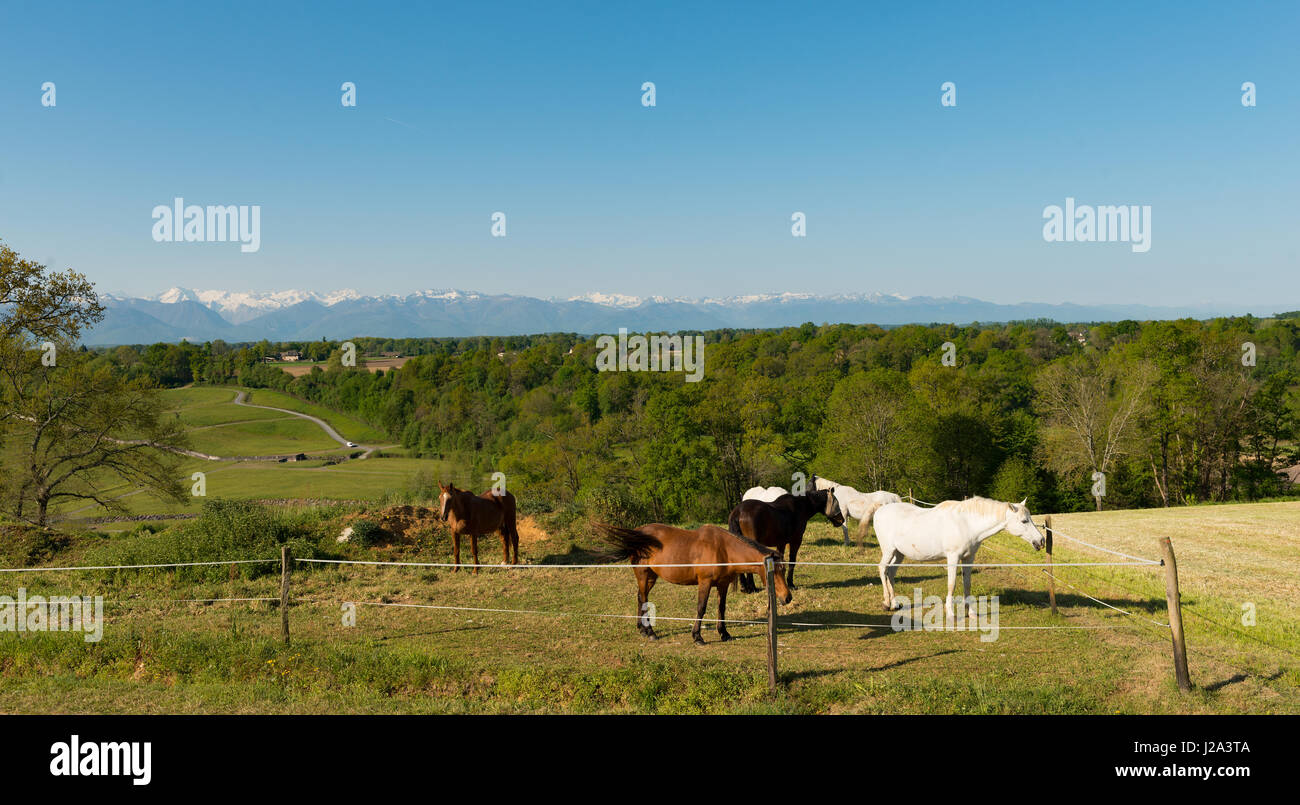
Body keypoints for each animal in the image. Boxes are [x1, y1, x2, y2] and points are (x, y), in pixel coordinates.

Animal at [595, 522, 791, 644]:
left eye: (784, 570)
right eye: (775, 572)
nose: (787, 597)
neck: (723, 549)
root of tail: (638, 534)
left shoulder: (723, 585)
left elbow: (721, 608)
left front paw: (724, 633)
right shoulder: (705, 583)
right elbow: (701, 608)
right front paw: (697, 637)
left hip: (650, 577)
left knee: (640, 598)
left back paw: (642, 629)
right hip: (644, 576)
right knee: (643, 599)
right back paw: (651, 632)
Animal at [873, 496, 1044, 620]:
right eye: (1024, 521)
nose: (1041, 541)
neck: (967, 524)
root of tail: (879, 511)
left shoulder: (969, 558)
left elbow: (967, 584)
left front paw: (971, 612)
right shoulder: (953, 557)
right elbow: (952, 584)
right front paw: (950, 613)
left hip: (899, 553)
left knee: (891, 573)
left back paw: (895, 603)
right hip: (888, 550)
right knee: (882, 569)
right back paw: (886, 603)